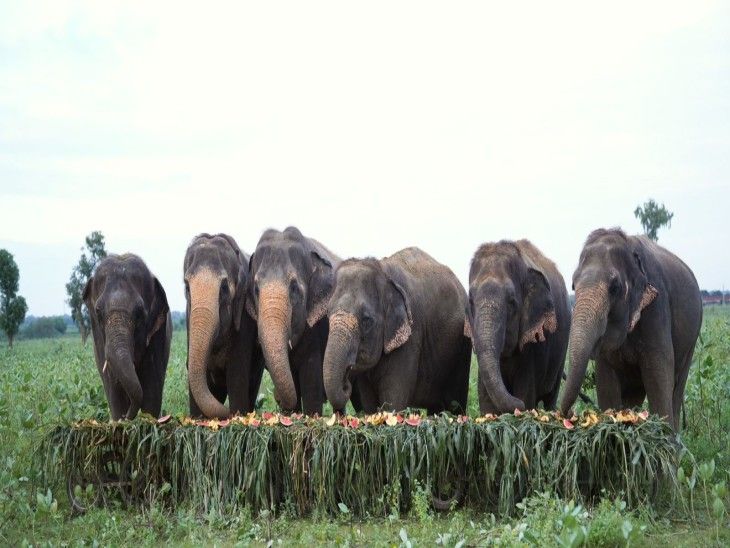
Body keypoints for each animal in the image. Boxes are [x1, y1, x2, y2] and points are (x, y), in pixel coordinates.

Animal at [84, 254, 171, 420]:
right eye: (98, 311)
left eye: (140, 312)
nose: (126, 417)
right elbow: (114, 391)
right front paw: (120, 420)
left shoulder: (158, 336)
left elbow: (151, 389)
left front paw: (147, 419)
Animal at [184, 233, 264, 418]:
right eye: (187, 287)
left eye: (224, 288)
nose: (230, 413)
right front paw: (197, 419)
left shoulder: (244, 317)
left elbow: (236, 375)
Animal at [323, 247, 472, 414]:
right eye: (327, 315)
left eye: (366, 320)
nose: (346, 383)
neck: (383, 271)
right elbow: (369, 404)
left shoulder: (411, 337)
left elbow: (393, 402)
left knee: (455, 403)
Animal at [466, 240, 570, 414]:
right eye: (471, 301)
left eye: (511, 302)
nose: (518, 405)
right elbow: (485, 399)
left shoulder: (534, 347)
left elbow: (526, 393)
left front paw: (523, 406)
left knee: (551, 396)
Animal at [560, 228, 702, 431]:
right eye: (573, 285)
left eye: (615, 287)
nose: (570, 415)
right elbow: (606, 383)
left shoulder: (656, 307)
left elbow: (658, 375)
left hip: (692, 337)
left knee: (676, 388)